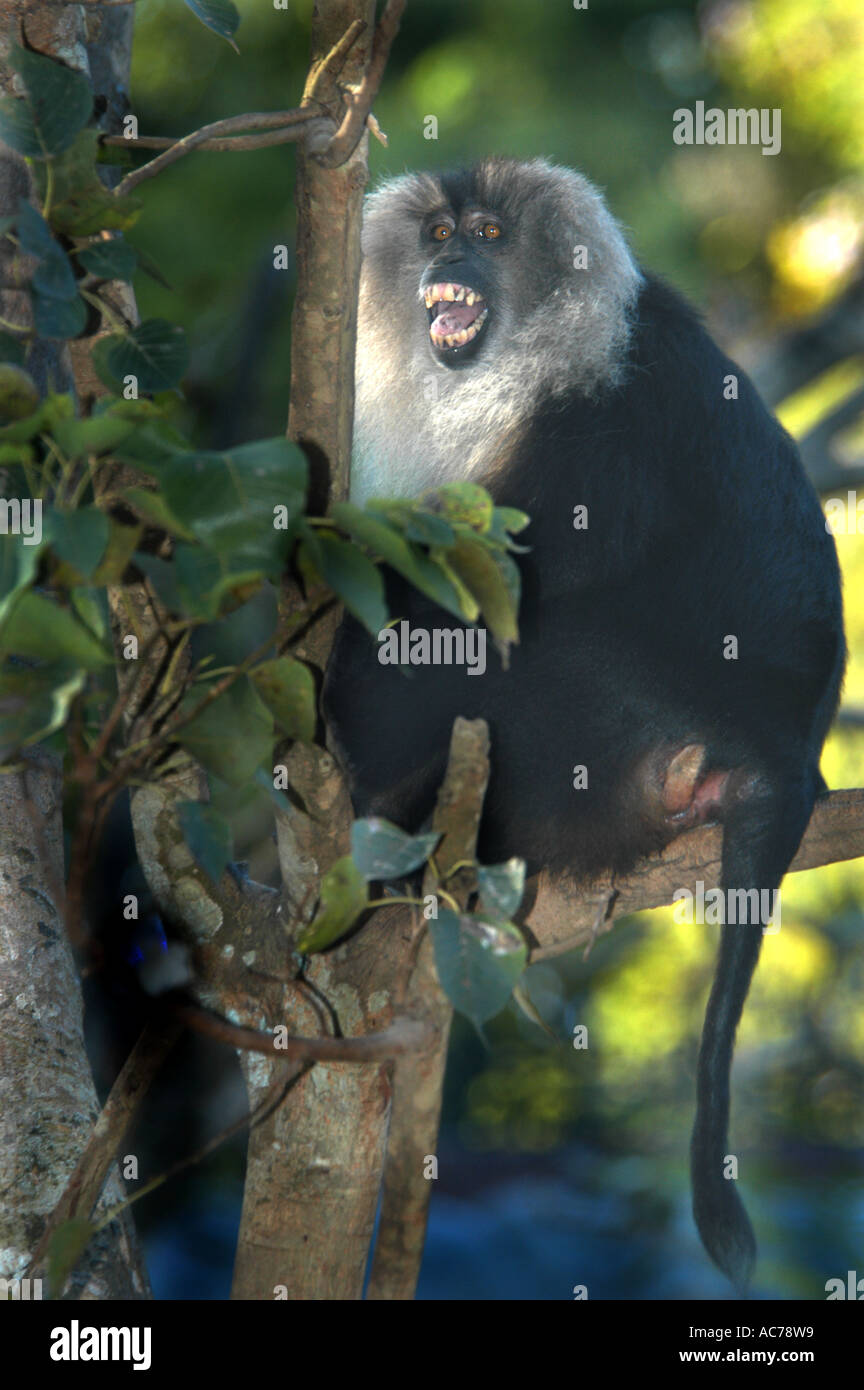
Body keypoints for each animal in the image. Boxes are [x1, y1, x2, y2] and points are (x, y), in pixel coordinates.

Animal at [322, 157, 846, 1292]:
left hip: (612, 722)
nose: (448, 260)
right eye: (436, 232)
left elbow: (488, 607)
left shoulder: (598, 425)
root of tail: (786, 753)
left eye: (485, 233)